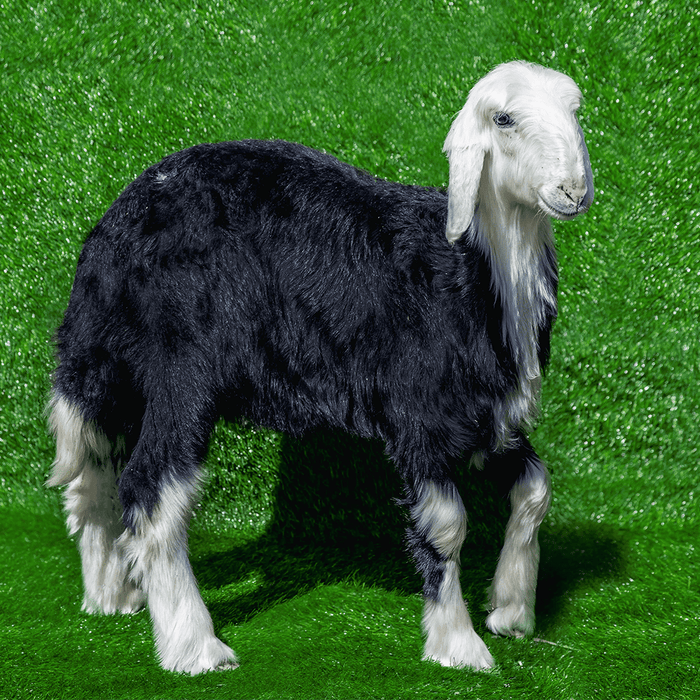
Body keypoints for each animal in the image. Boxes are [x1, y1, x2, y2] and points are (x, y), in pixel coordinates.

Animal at [47, 60, 593, 674]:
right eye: (504, 119)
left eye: (574, 110)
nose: (573, 191)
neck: (474, 272)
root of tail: (115, 229)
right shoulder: (419, 415)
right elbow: (448, 525)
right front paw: (458, 644)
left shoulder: (484, 417)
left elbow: (535, 488)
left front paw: (512, 611)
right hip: (180, 369)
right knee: (150, 490)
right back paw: (195, 646)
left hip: (104, 366)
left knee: (93, 476)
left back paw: (110, 598)